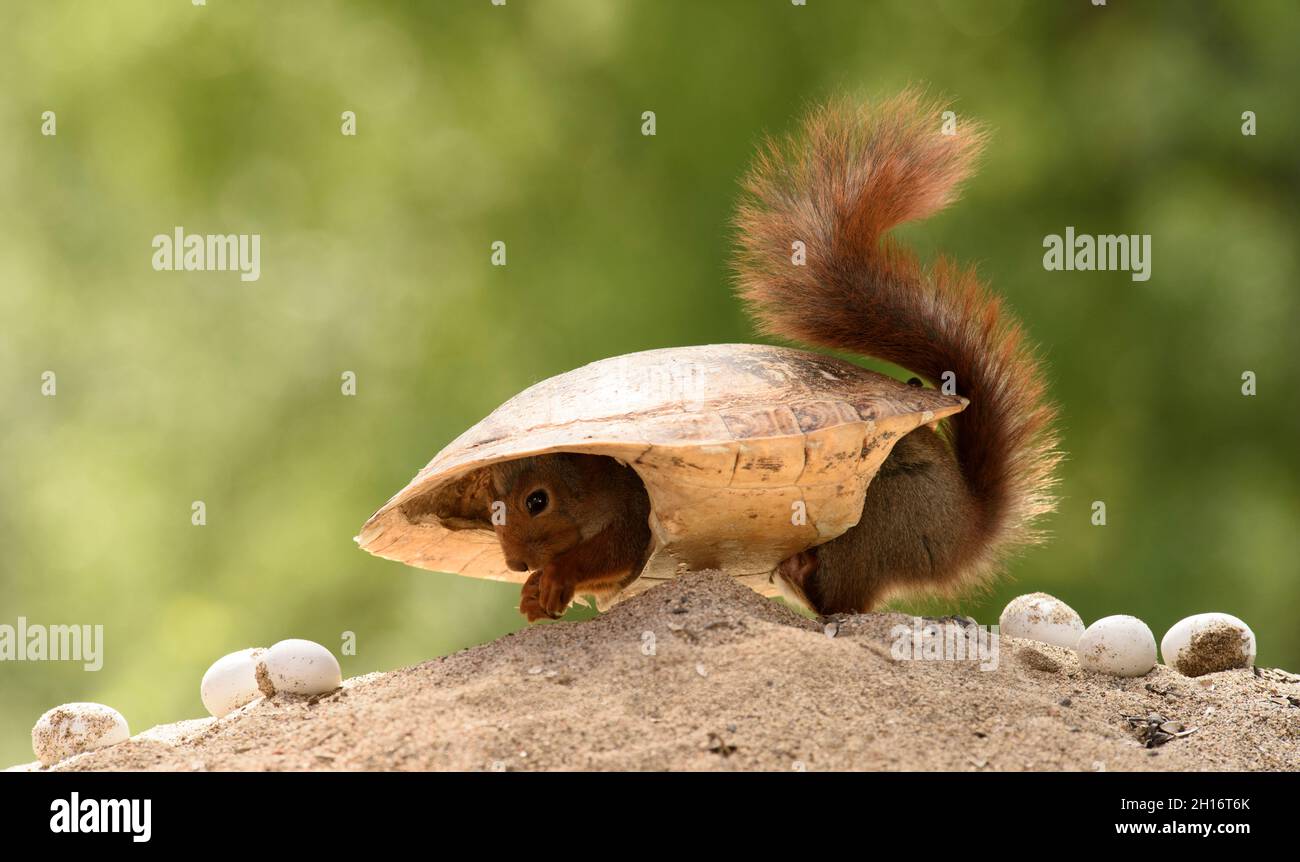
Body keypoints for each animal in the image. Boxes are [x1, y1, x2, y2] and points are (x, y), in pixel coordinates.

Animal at [492, 90, 1059, 622]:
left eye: (537, 501)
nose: (515, 563)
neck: (598, 481)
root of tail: (964, 532)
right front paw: (534, 593)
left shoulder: (636, 516)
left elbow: (609, 556)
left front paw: (554, 576)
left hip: (873, 524)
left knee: (846, 602)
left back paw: (801, 576)